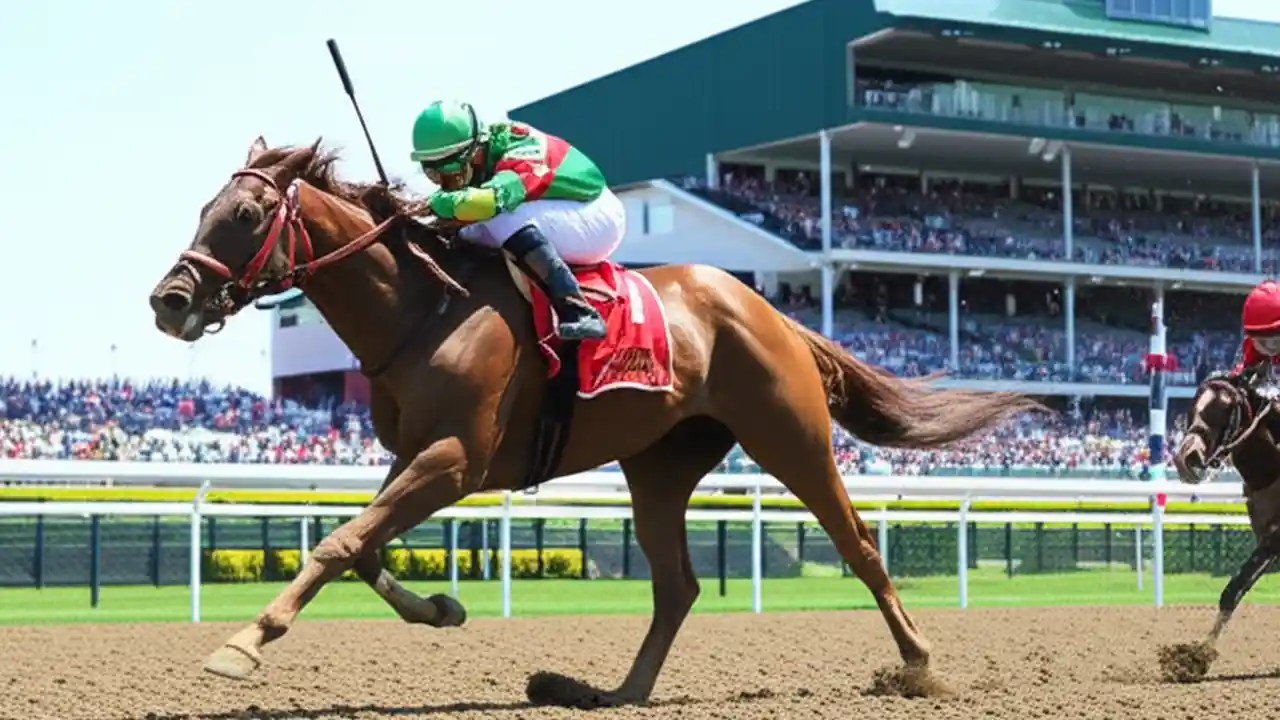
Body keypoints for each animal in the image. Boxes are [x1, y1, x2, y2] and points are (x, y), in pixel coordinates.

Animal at [148, 137, 1046, 707]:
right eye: (205, 205)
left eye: (247, 213)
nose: (169, 300)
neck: (425, 310)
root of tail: (771, 311)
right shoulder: (413, 455)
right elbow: (360, 547)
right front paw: (442, 609)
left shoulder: (455, 460)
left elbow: (339, 544)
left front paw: (243, 644)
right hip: (659, 465)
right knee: (677, 585)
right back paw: (619, 692)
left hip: (788, 434)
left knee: (858, 546)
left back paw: (919, 666)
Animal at [1167, 368, 1280, 679]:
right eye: (1192, 406)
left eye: (1227, 411)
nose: (1186, 457)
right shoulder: (1268, 539)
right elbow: (1232, 591)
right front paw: (1195, 658)